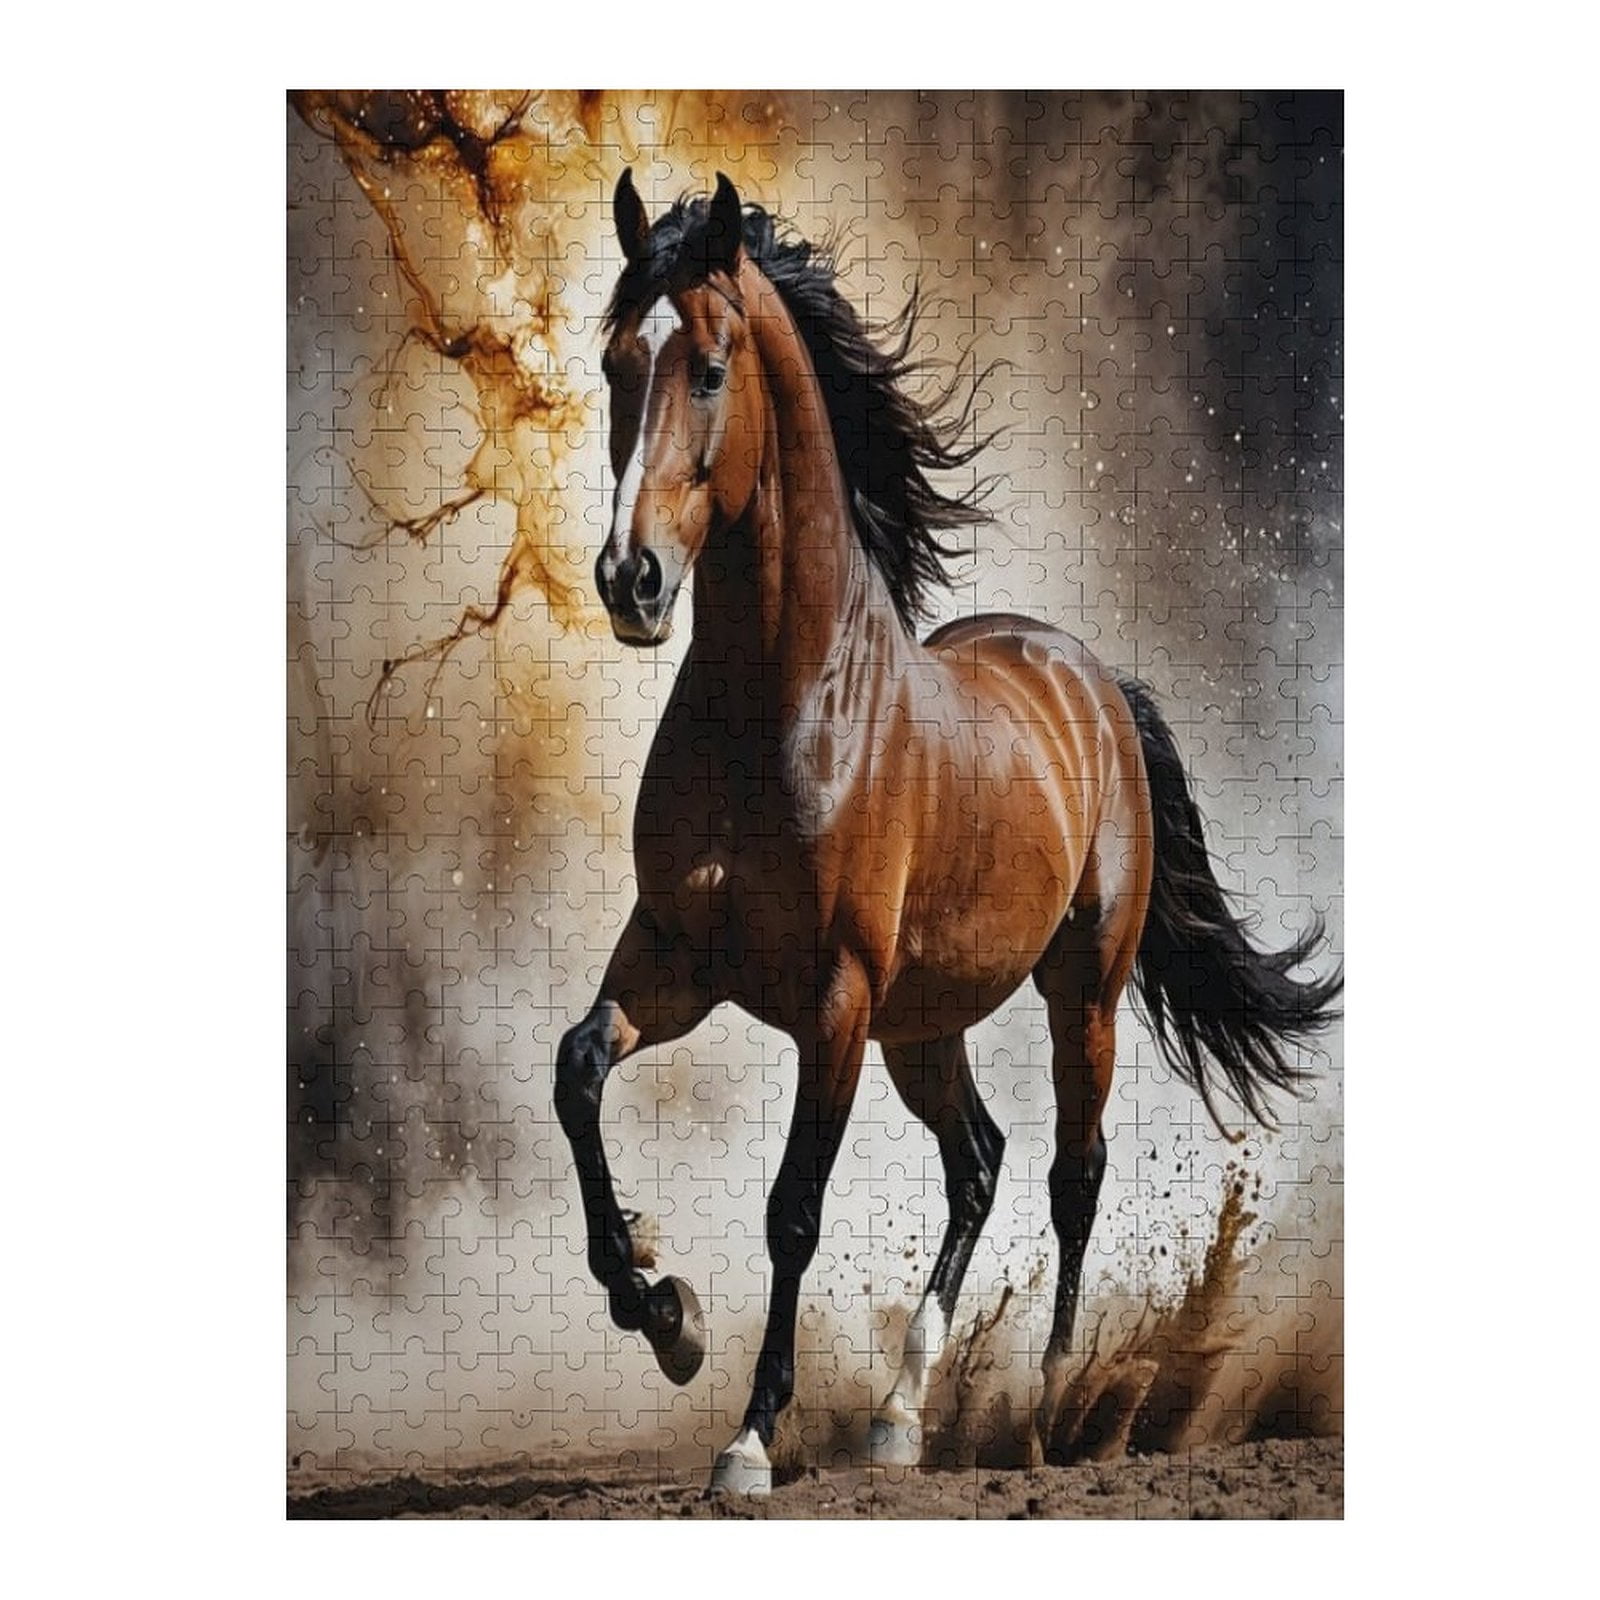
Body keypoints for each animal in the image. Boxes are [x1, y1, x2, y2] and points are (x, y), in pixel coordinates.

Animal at [553, 170, 1343, 1496]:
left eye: (708, 368)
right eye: (616, 364)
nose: (632, 580)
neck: (784, 703)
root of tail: (1091, 680)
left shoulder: (832, 1000)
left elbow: (793, 1209)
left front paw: (748, 1438)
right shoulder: (673, 960)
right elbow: (577, 1074)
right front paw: (665, 1313)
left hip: (1077, 992)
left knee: (1072, 1171)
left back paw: (1048, 1410)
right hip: (922, 1023)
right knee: (977, 1158)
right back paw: (899, 1413)